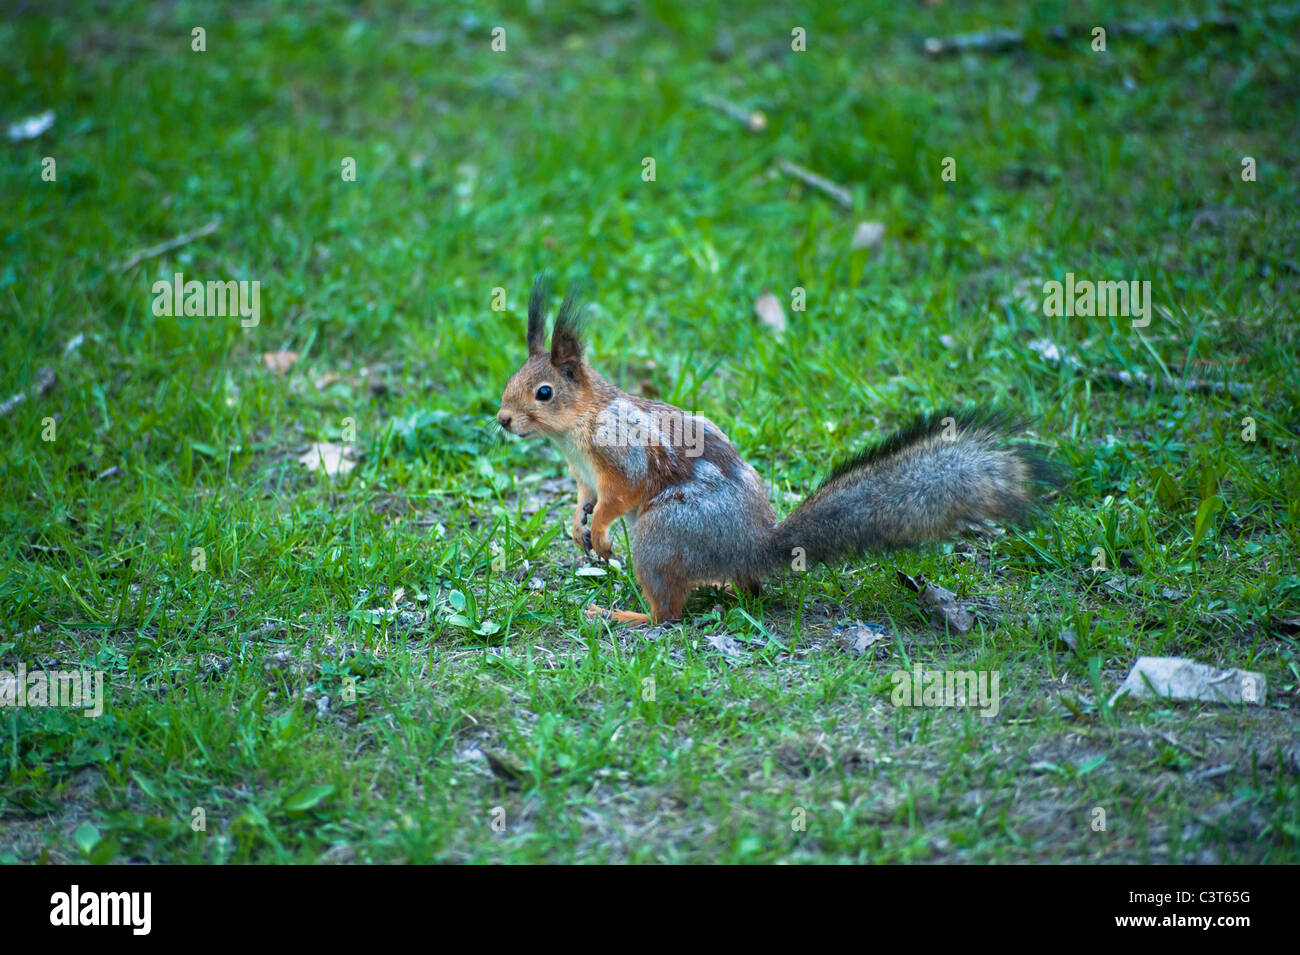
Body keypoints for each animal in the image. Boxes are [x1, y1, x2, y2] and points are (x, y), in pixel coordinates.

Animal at [497, 277, 1056, 625]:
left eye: (543, 392)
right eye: (512, 380)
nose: (502, 419)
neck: (575, 430)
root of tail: (750, 546)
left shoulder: (620, 454)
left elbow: (619, 495)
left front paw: (599, 532)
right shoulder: (583, 476)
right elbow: (584, 498)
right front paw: (578, 525)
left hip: (662, 535)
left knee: (669, 614)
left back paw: (626, 614)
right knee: (744, 589)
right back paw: (721, 588)